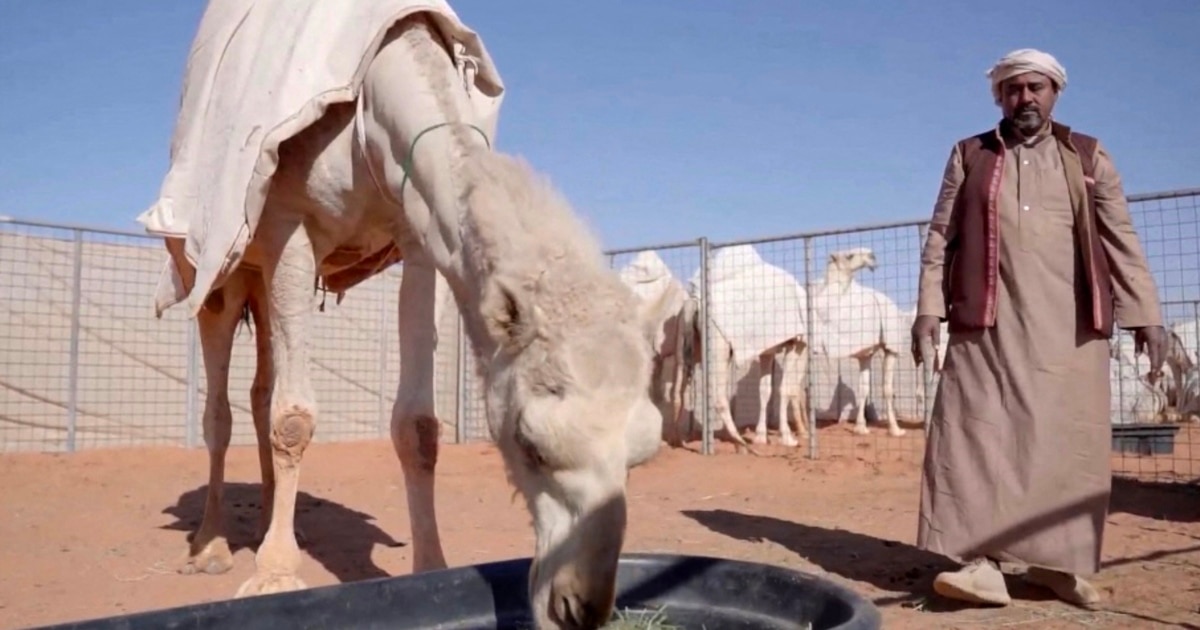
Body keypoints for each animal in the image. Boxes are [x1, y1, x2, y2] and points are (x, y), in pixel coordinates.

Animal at [139, 5, 674, 628]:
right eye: (530, 444)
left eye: (642, 455)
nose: (577, 607)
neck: (374, 104)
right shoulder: (290, 225)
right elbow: (294, 417)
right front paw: (273, 575)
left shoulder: (419, 235)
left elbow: (417, 426)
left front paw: (430, 567)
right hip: (222, 271)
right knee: (218, 408)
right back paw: (211, 547)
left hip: (263, 282)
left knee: (260, 386)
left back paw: (279, 518)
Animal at [668, 244, 809, 451]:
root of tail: (695, 302)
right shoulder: (796, 342)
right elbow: (786, 388)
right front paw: (788, 438)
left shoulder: (767, 350)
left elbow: (765, 390)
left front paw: (761, 437)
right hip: (718, 341)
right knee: (718, 395)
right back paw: (740, 442)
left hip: (686, 336)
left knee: (678, 386)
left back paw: (680, 439)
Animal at [809, 247, 907, 437]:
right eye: (849, 255)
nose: (872, 256)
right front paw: (860, 428)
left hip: (890, 345)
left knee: (886, 387)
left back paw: (895, 429)